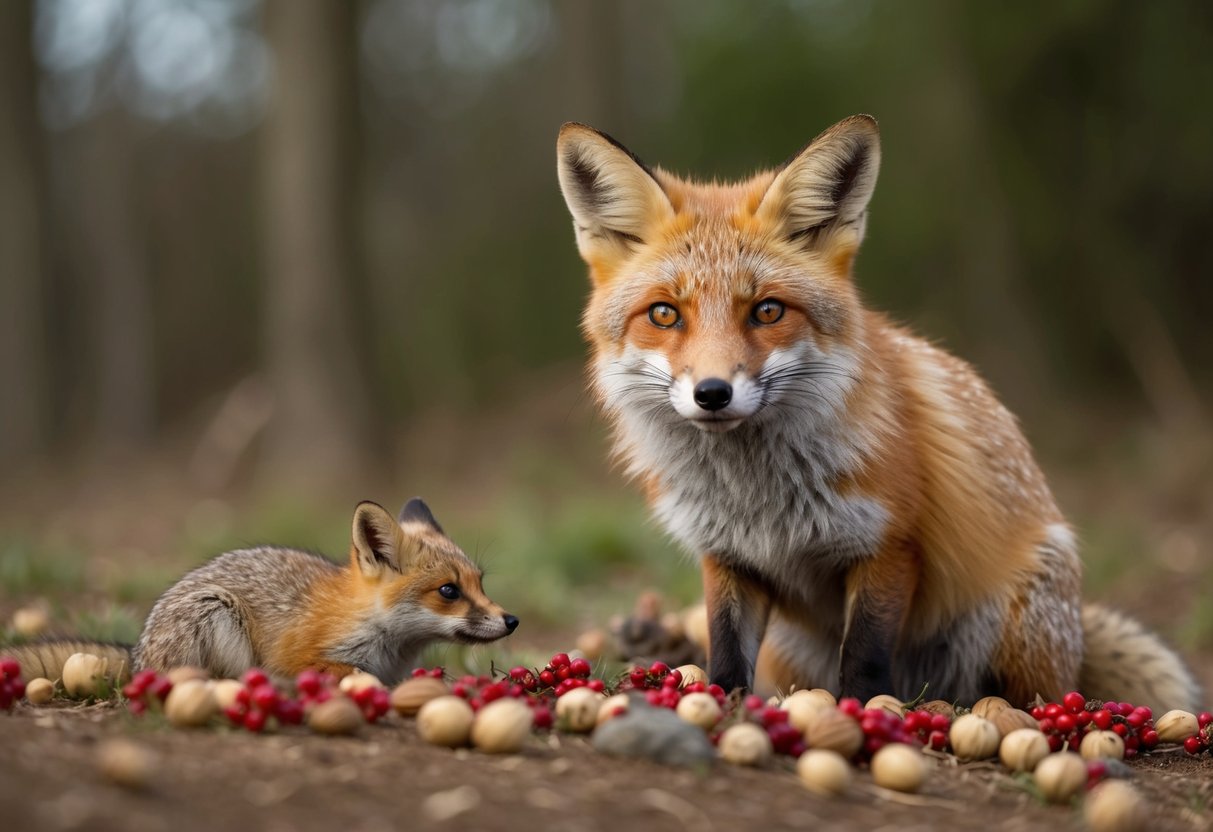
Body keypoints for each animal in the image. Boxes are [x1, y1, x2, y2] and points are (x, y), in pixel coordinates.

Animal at [7, 498, 518, 685]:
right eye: (448, 591)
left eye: (480, 583)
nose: (512, 620)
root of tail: (136, 656)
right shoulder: (297, 656)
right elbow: (344, 671)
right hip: (215, 614)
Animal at [555, 115, 1200, 712]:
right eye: (665, 314)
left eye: (767, 311)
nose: (712, 393)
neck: (758, 498)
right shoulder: (728, 556)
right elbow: (725, 648)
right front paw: (723, 702)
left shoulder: (889, 546)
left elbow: (864, 654)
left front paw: (864, 712)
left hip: (1014, 626)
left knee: (1028, 693)